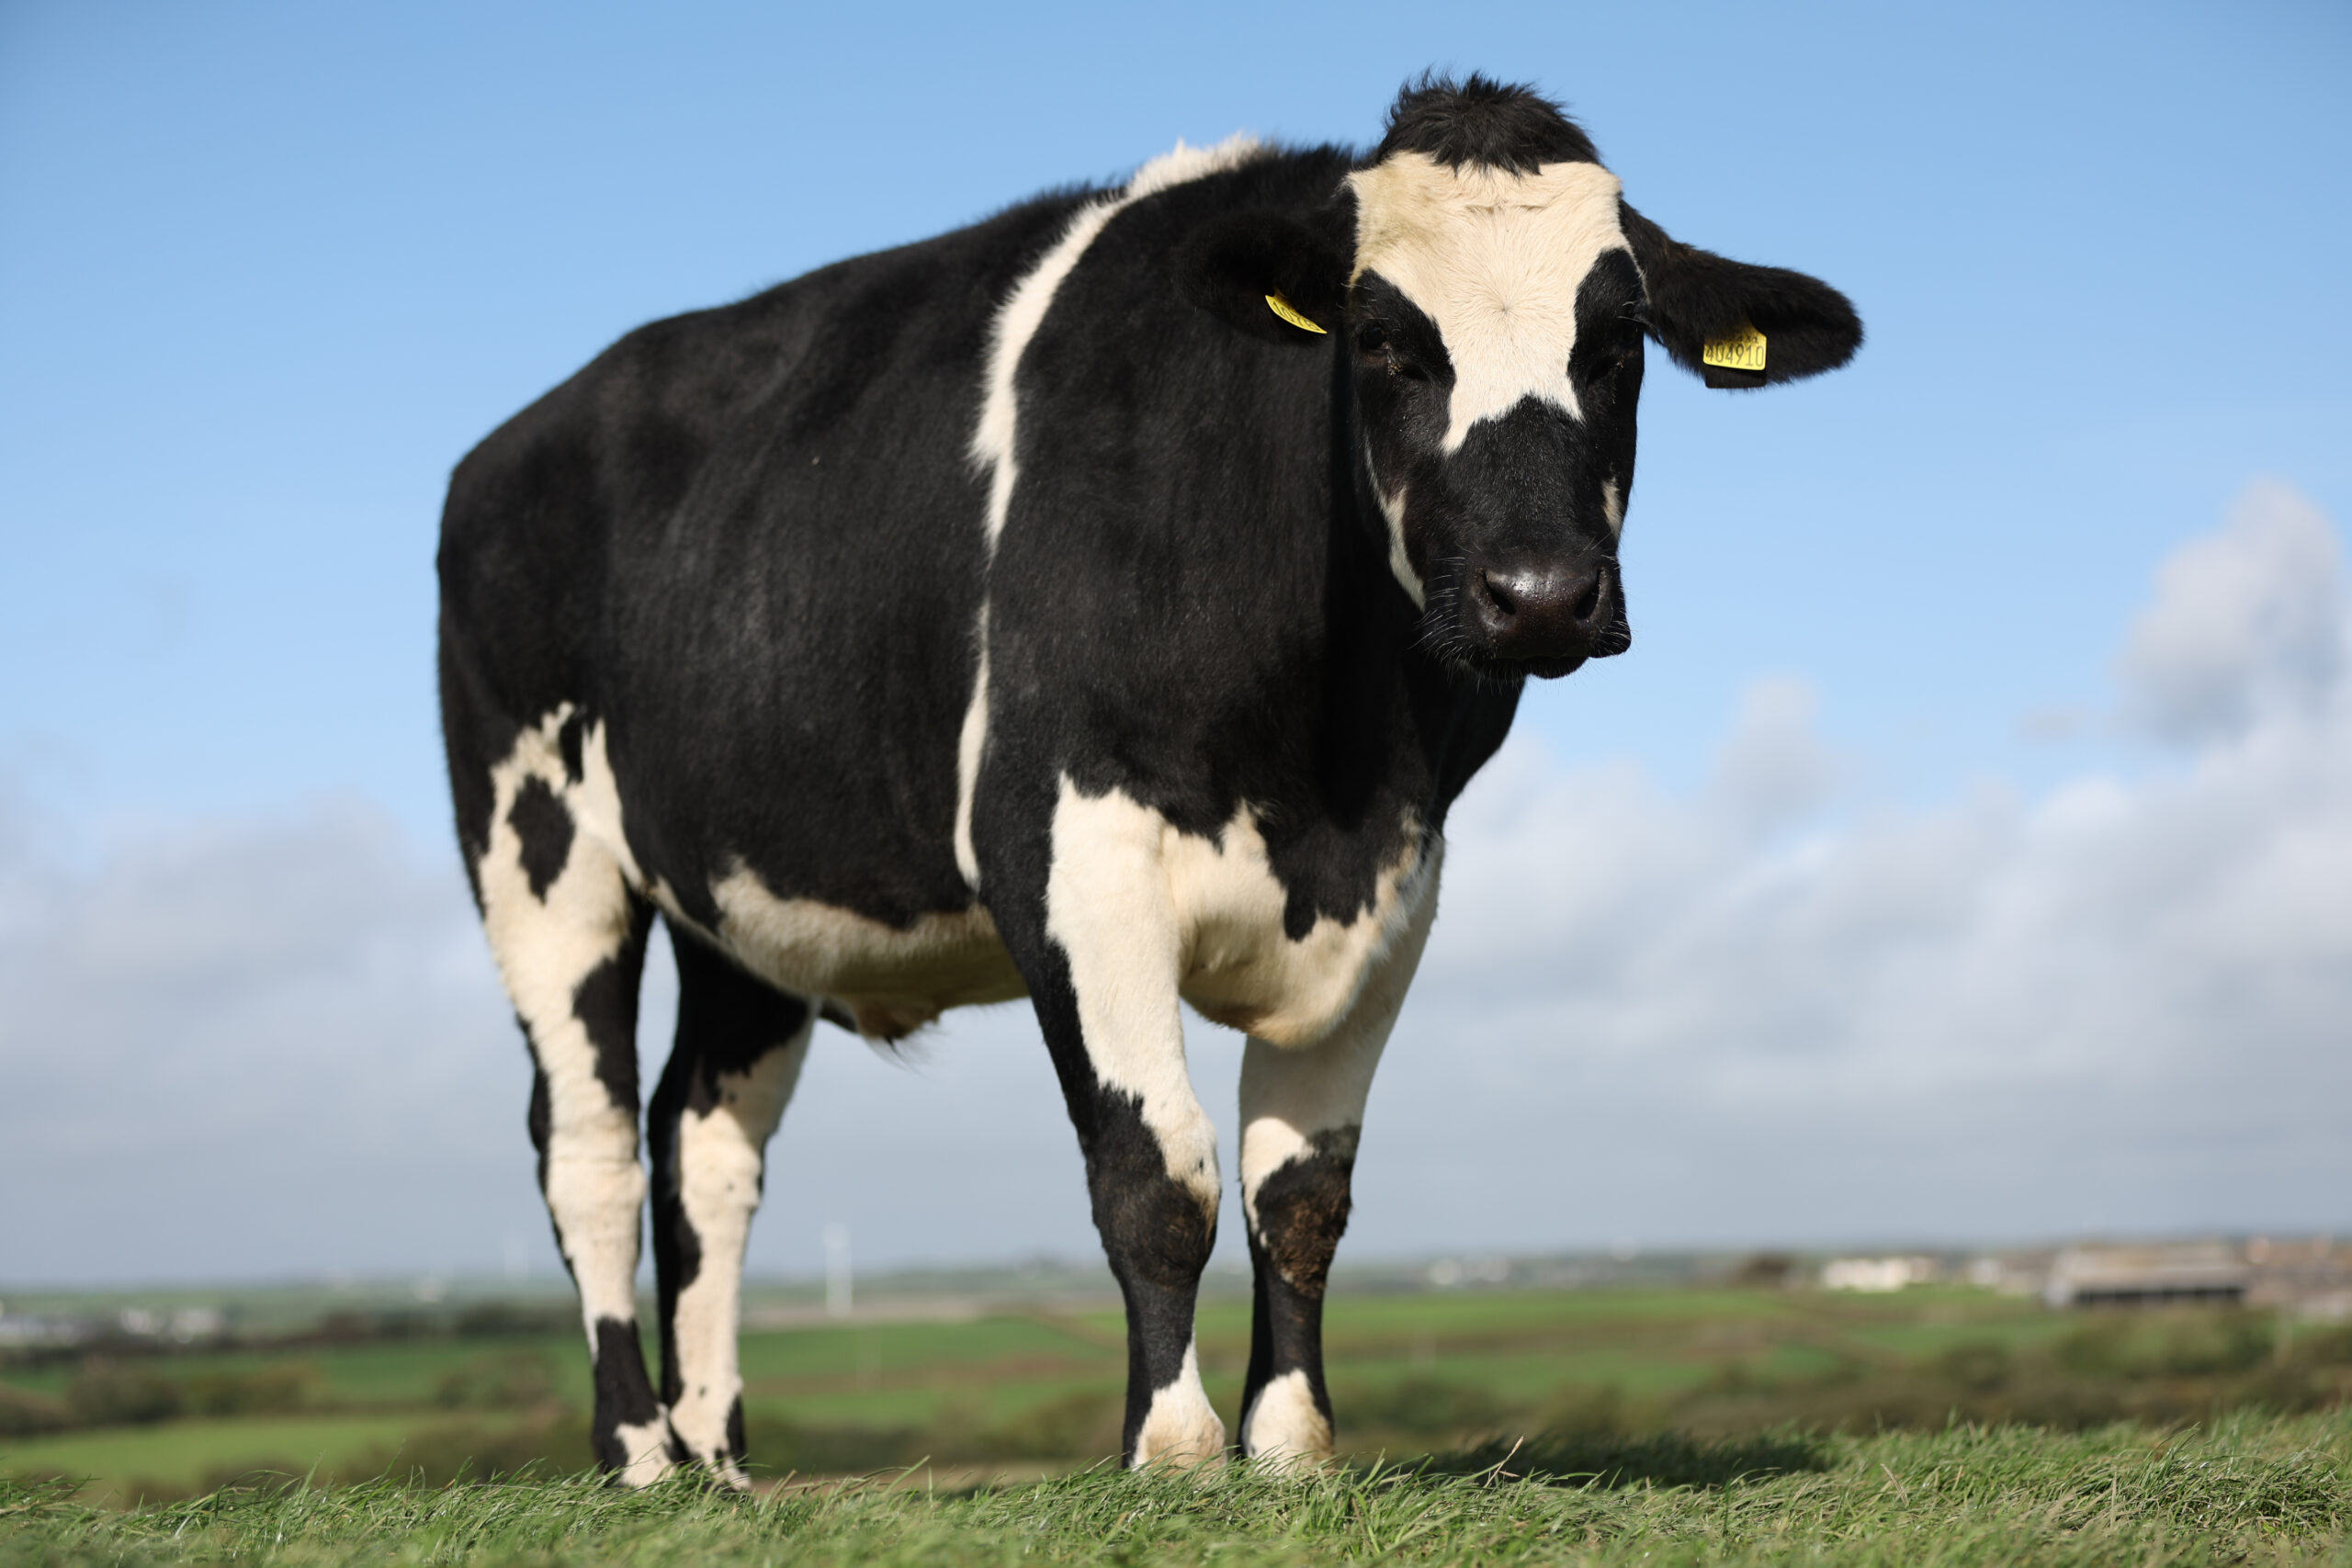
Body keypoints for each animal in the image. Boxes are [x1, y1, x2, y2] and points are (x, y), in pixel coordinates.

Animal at [437, 74, 1861, 1485]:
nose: (1540, 594)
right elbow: (1156, 1168)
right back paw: (638, 1448)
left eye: (1618, 344)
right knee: (591, 1152)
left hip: (743, 907)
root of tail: (507, 442)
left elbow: (1300, 1193)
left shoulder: (1399, 883)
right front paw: (1171, 1445)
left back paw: (721, 1455)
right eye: (1385, 341)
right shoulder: (1066, 850)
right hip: (538, 852)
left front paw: (1290, 1443)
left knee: (705, 1150)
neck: (1323, 768)